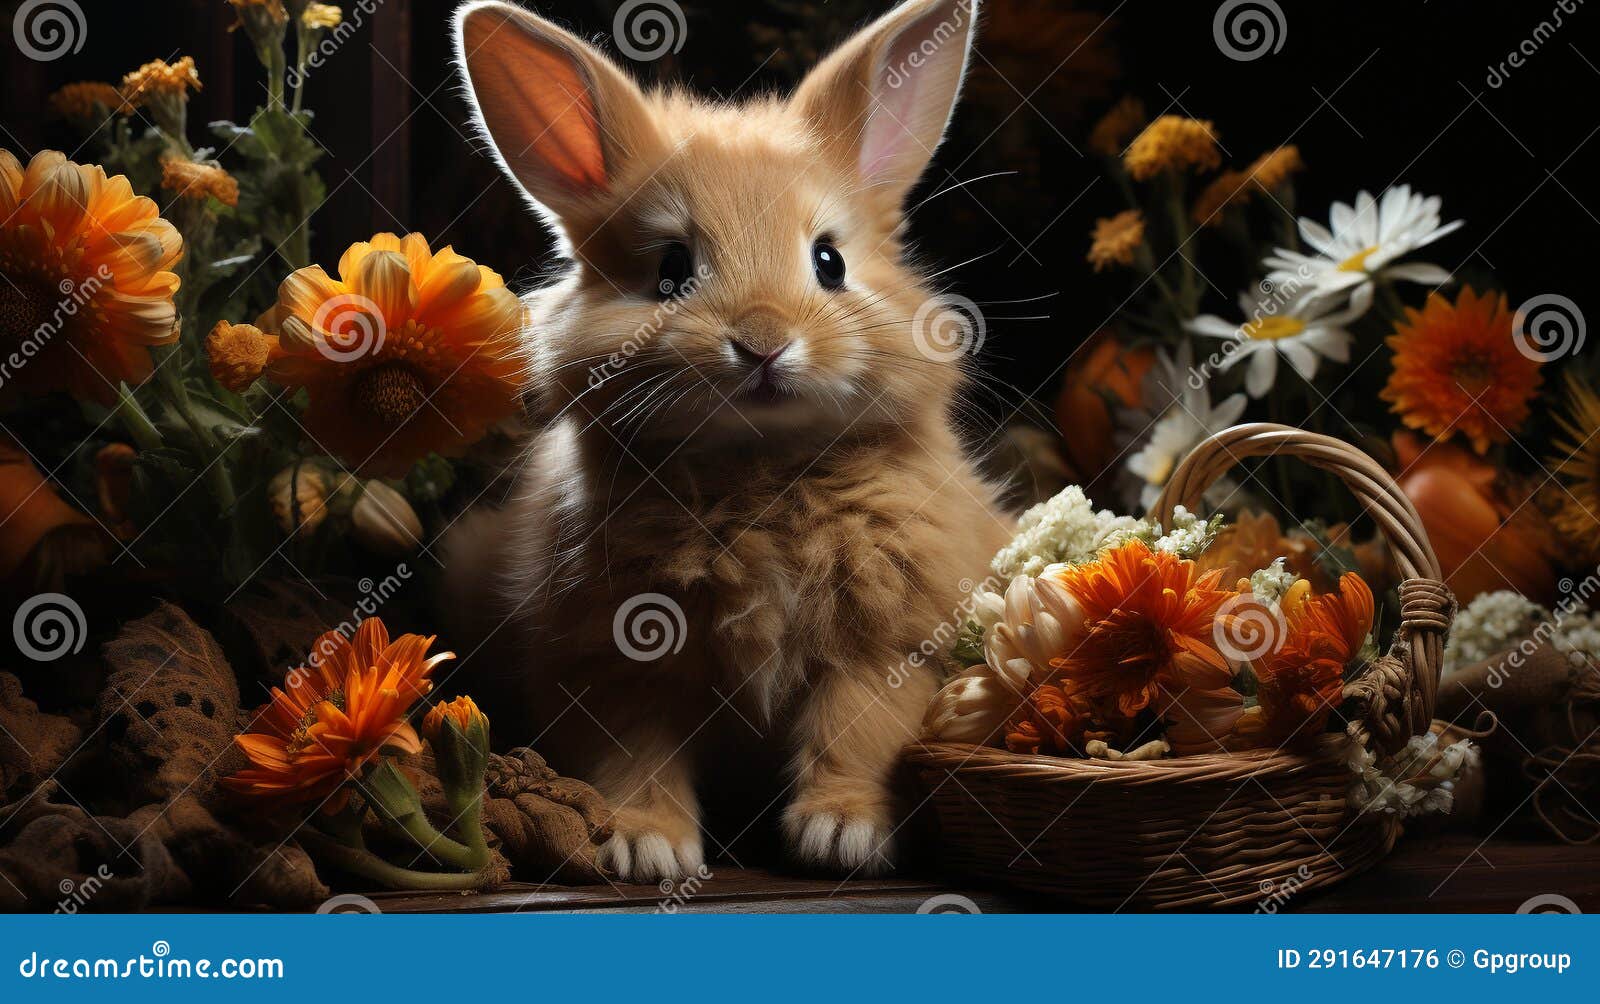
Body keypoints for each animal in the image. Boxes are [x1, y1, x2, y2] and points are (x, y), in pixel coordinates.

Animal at [445, 0, 1011, 881]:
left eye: (829, 260)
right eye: (672, 269)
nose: (763, 342)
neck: (760, 465)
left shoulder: (889, 645)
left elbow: (858, 732)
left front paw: (841, 836)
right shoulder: (613, 661)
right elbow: (634, 755)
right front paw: (646, 848)